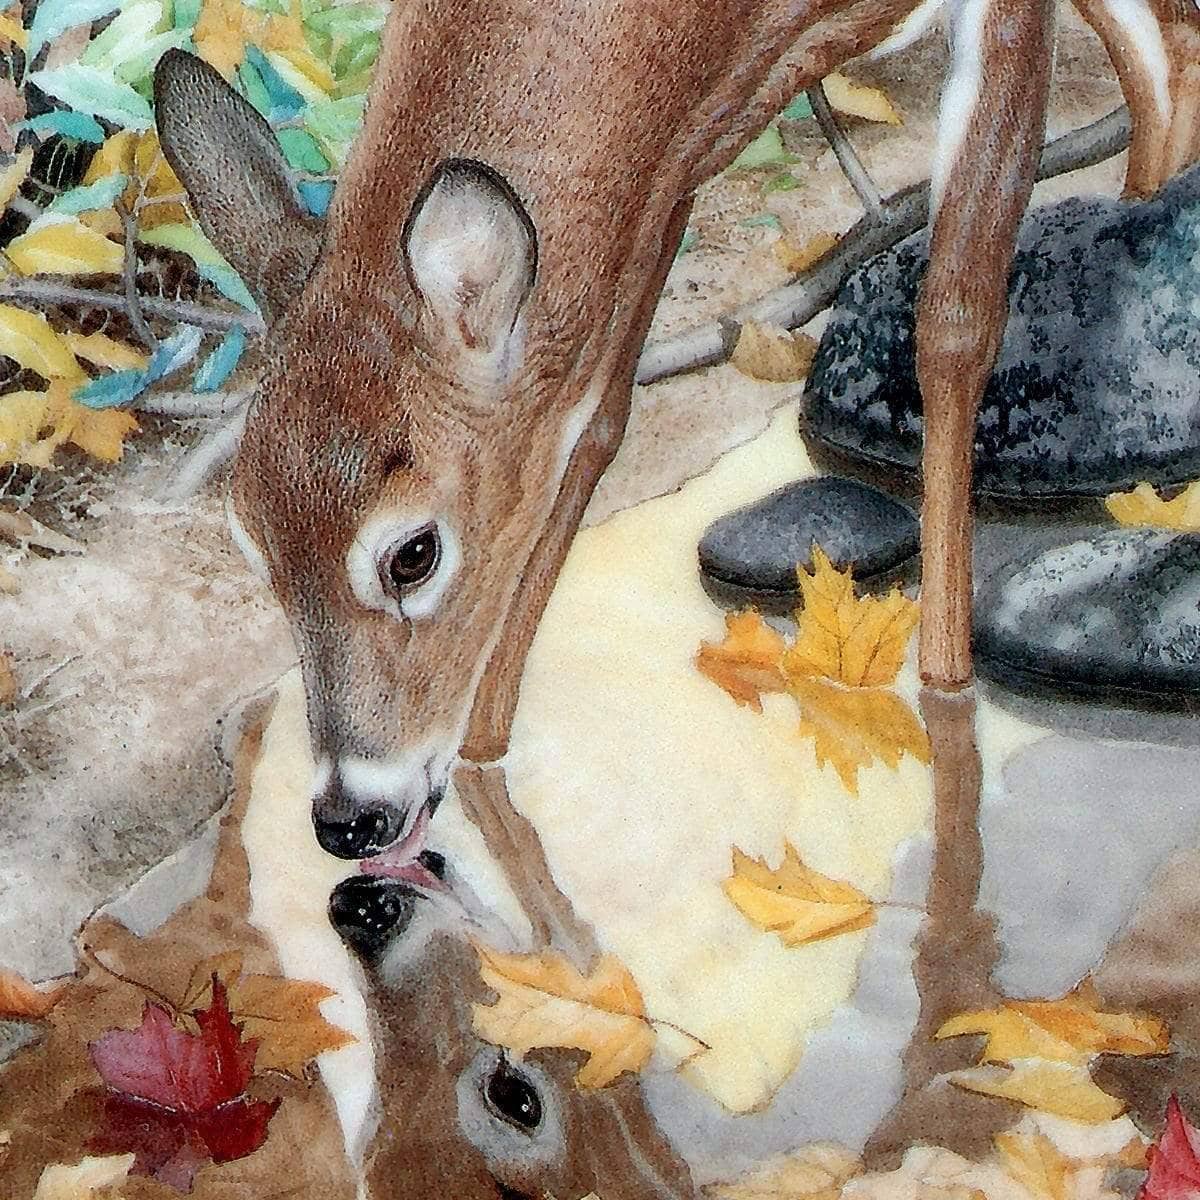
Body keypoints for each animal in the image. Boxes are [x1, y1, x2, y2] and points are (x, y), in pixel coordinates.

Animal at [152, 0, 1200, 876]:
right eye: (253, 545)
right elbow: (598, 415)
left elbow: (955, 317)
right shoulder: (680, 150)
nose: (349, 819)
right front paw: (489, 753)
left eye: (413, 552)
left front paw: (950, 709)